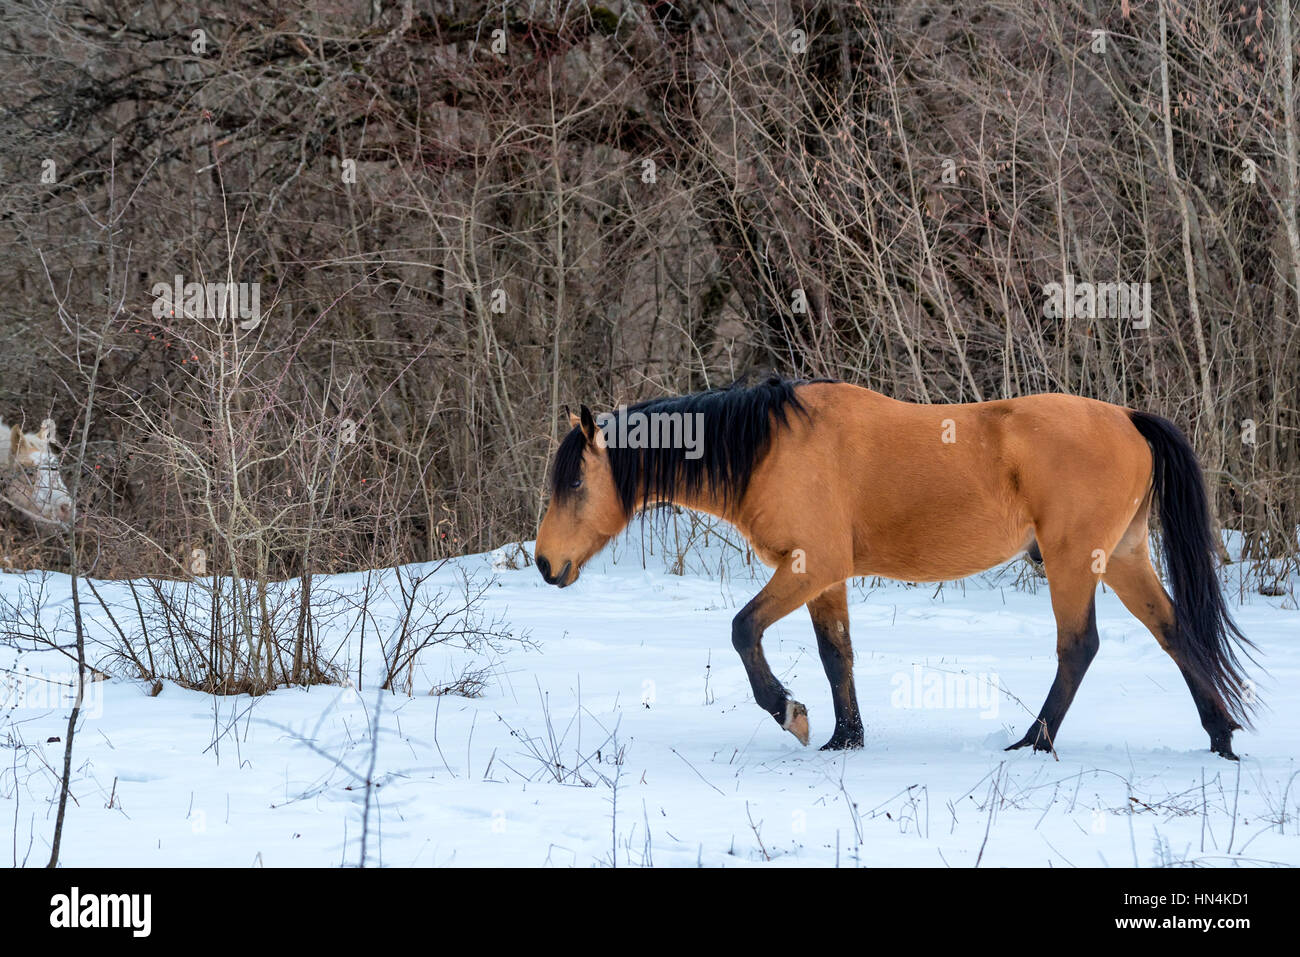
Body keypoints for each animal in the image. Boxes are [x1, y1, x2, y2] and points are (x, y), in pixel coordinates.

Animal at [534, 377, 1256, 759]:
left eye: (574, 482)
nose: (544, 563)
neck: (772, 448)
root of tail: (1130, 418)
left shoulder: (808, 566)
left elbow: (743, 630)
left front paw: (789, 712)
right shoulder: (825, 578)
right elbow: (837, 655)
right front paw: (843, 738)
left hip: (1075, 561)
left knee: (1079, 646)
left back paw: (1033, 742)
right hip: (1124, 557)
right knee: (1176, 634)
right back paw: (1220, 736)